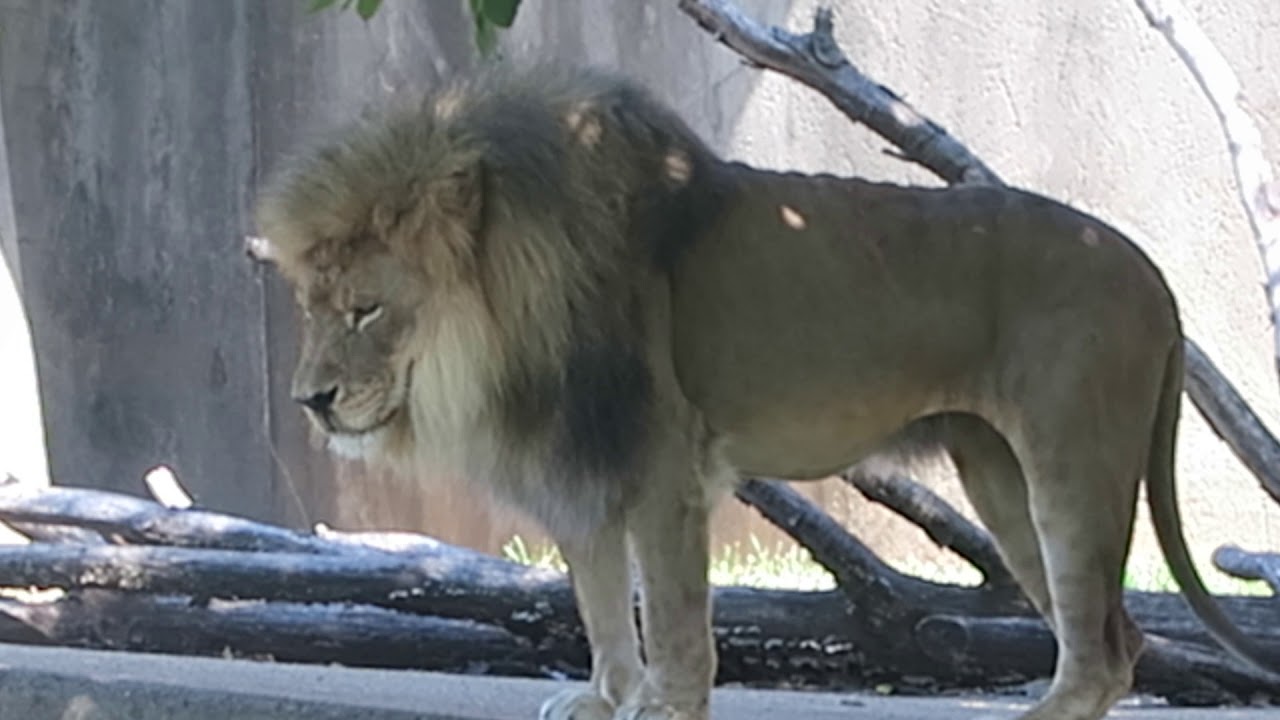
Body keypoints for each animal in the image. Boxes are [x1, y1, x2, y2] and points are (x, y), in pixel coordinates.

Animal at [248, 65, 1277, 720]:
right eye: (311, 305)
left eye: (368, 308)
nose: (310, 401)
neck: (517, 317)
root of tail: (1148, 269)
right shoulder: (584, 461)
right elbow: (598, 600)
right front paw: (605, 698)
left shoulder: (660, 463)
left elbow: (669, 613)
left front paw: (666, 707)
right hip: (1003, 481)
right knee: (1116, 644)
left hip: (1070, 465)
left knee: (1100, 653)